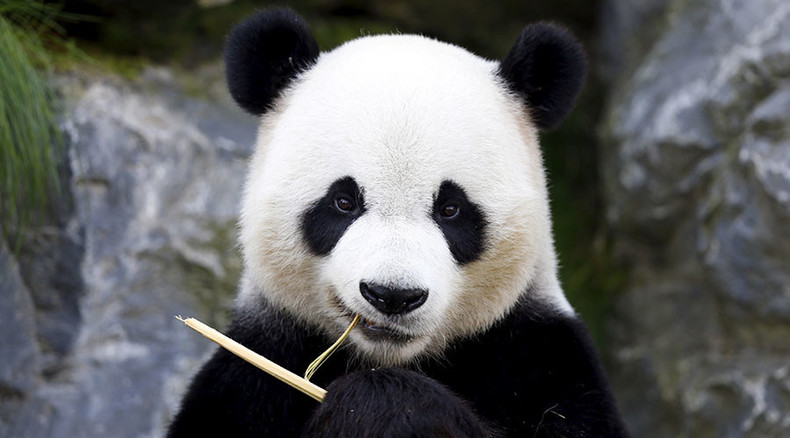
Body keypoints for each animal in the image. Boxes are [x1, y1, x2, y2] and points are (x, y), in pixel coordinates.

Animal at [169, 8, 629, 438]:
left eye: (451, 209)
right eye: (343, 202)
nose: (393, 295)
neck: (384, 357)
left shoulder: (541, 359)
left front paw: (386, 406)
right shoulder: (251, 373)